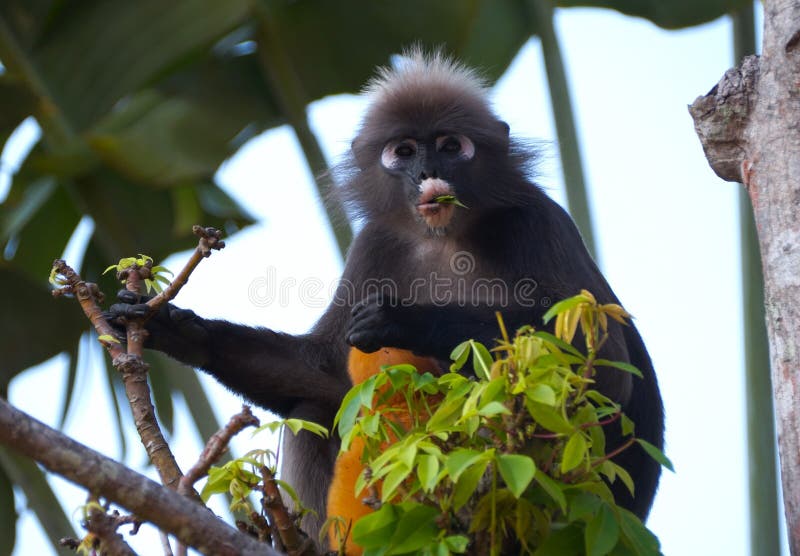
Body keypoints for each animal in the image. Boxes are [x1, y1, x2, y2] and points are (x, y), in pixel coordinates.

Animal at [110, 50, 664, 549]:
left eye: (449, 145)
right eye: (404, 151)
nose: (425, 172)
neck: (443, 235)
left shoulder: (539, 220)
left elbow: (605, 371)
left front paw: (407, 320)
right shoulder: (374, 242)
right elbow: (322, 371)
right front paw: (177, 329)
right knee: (312, 411)